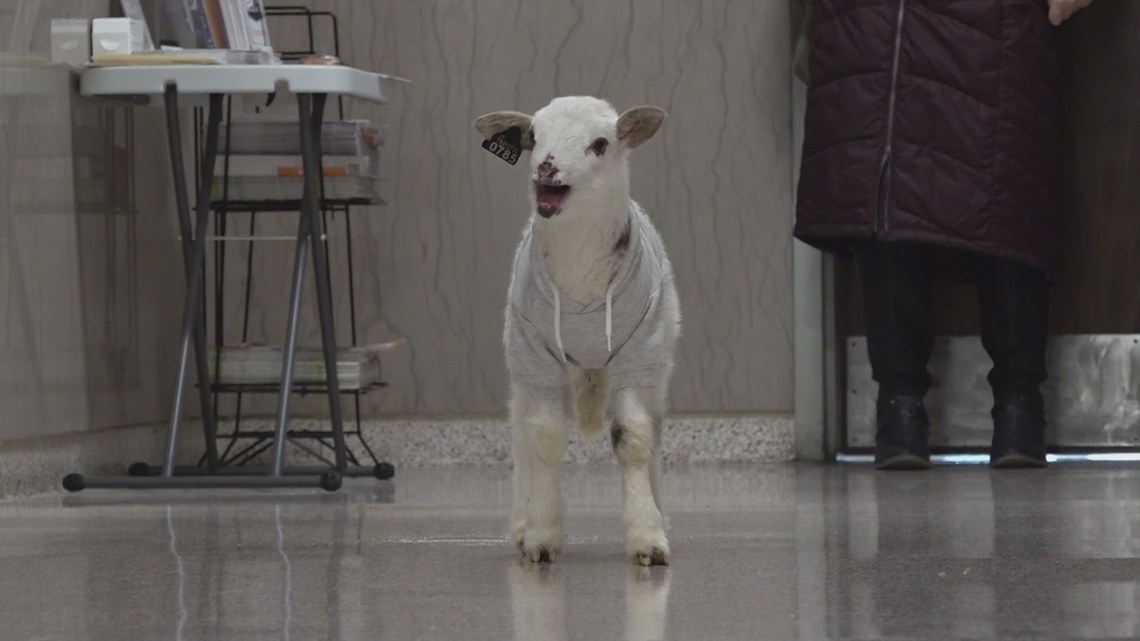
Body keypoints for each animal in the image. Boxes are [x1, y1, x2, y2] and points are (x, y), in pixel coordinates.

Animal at [474, 96, 680, 566]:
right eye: (533, 138)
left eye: (600, 144)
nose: (546, 168)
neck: (580, 272)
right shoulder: (536, 353)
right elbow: (545, 438)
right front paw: (541, 535)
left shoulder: (640, 350)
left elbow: (633, 438)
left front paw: (648, 536)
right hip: (523, 362)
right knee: (522, 432)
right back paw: (521, 522)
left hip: (656, 365)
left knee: (655, 429)